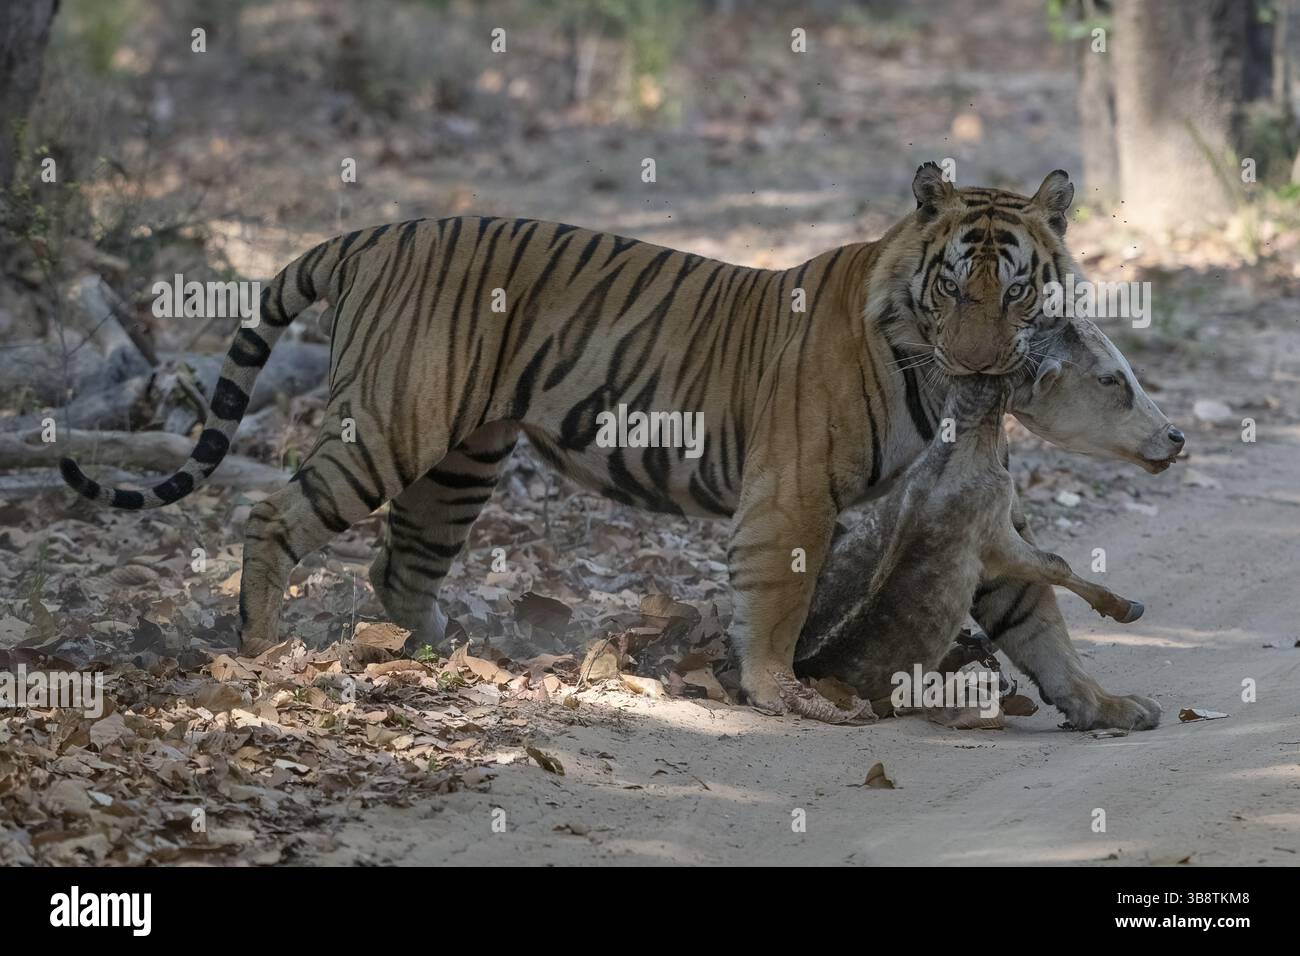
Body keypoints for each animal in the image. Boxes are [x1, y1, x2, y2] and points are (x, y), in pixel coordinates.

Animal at [61, 162, 1119, 723]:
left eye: (1018, 290)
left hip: (463, 458)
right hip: (390, 429)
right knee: (271, 514)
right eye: (953, 288)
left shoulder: (963, 507)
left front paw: (1103, 705)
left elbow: (1032, 608)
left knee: (401, 563)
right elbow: (778, 600)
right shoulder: (794, 493)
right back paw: (263, 648)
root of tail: (372, 234)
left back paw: (436, 655)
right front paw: (779, 691)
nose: (982, 367)